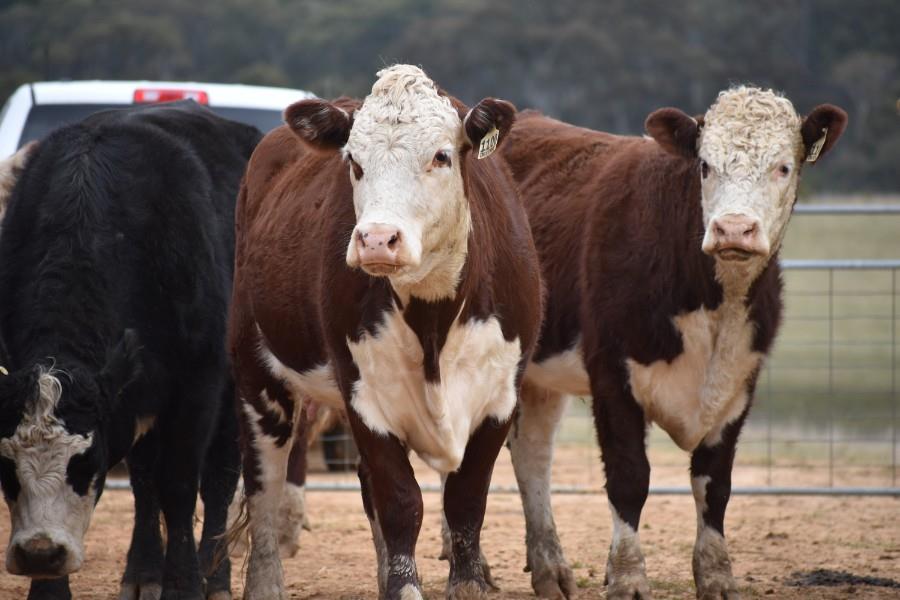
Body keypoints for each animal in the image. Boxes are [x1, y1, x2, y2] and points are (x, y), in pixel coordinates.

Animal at [0, 101, 261, 600]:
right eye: (5, 465)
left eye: (85, 462)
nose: (40, 552)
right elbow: (152, 486)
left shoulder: (196, 384)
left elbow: (180, 485)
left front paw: (185, 584)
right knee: (144, 481)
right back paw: (142, 573)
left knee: (218, 478)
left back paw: (214, 576)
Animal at [229, 64, 542, 600]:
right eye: (354, 162)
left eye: (441, 155)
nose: (377, 239)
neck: (434, 320)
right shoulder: (365, 396)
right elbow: (400, 500)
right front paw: (405, 587)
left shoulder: (500, 396)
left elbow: (465, 502)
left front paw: (465, 583)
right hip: (256, 375)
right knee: (264, 485)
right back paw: (265, 582)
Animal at [499, 87, 847, 599]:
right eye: (704, 165)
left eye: (784, 166)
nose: (733, 229)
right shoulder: (612, 374)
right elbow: (629, 477)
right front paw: (627, 578)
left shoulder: (739, 383)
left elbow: (714, 484)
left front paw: (717, 576)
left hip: (537, 376)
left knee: (532, 454)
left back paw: (550, 570)